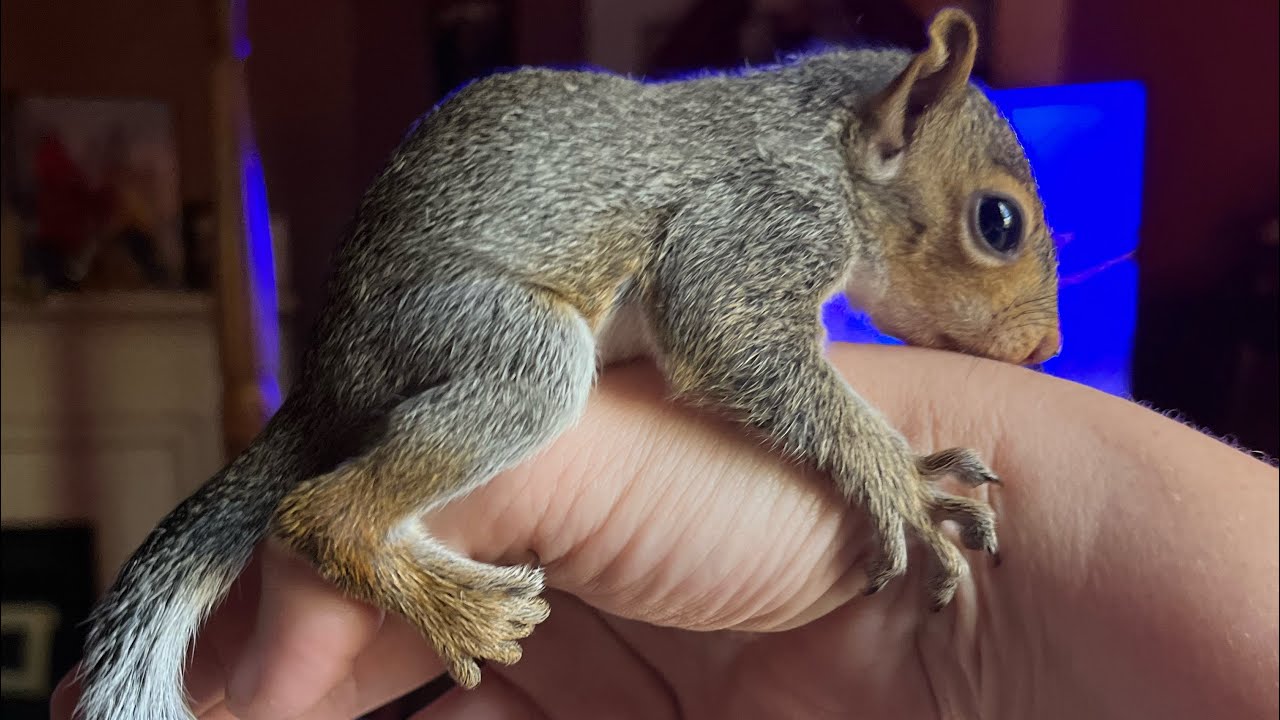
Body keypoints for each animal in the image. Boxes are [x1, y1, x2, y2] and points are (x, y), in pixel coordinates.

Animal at [75, 8, 1060, 719]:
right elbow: (724, 325)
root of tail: (321, 379)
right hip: (487, 343)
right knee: (328, 512)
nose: (1047, 350)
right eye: (998, 222)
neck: (826, 145)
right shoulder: (759, 218)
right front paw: (906, 483)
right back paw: (457, 610)